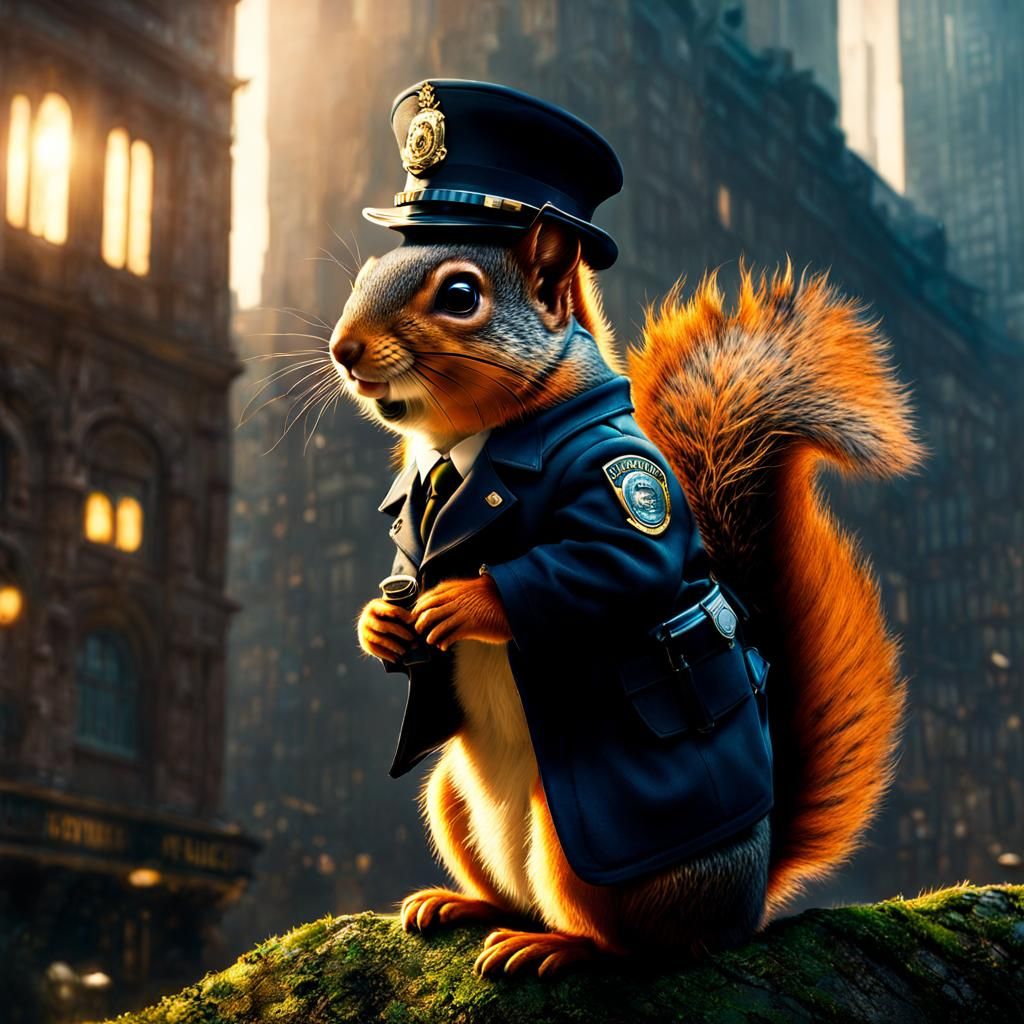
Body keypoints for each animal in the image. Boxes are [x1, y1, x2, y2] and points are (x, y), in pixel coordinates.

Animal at [335, 219, 923, 977]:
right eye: (360, 279)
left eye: (461, 295)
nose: (344, 349)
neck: (471, 443)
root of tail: (748, 906)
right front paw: (380, 625)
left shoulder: (622, 477)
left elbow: (612, 569)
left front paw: (463, 603)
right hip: (449, 797)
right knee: (510, 892)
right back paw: (461, 904)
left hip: (589, 840)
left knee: (636, 945)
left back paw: (554, 946)